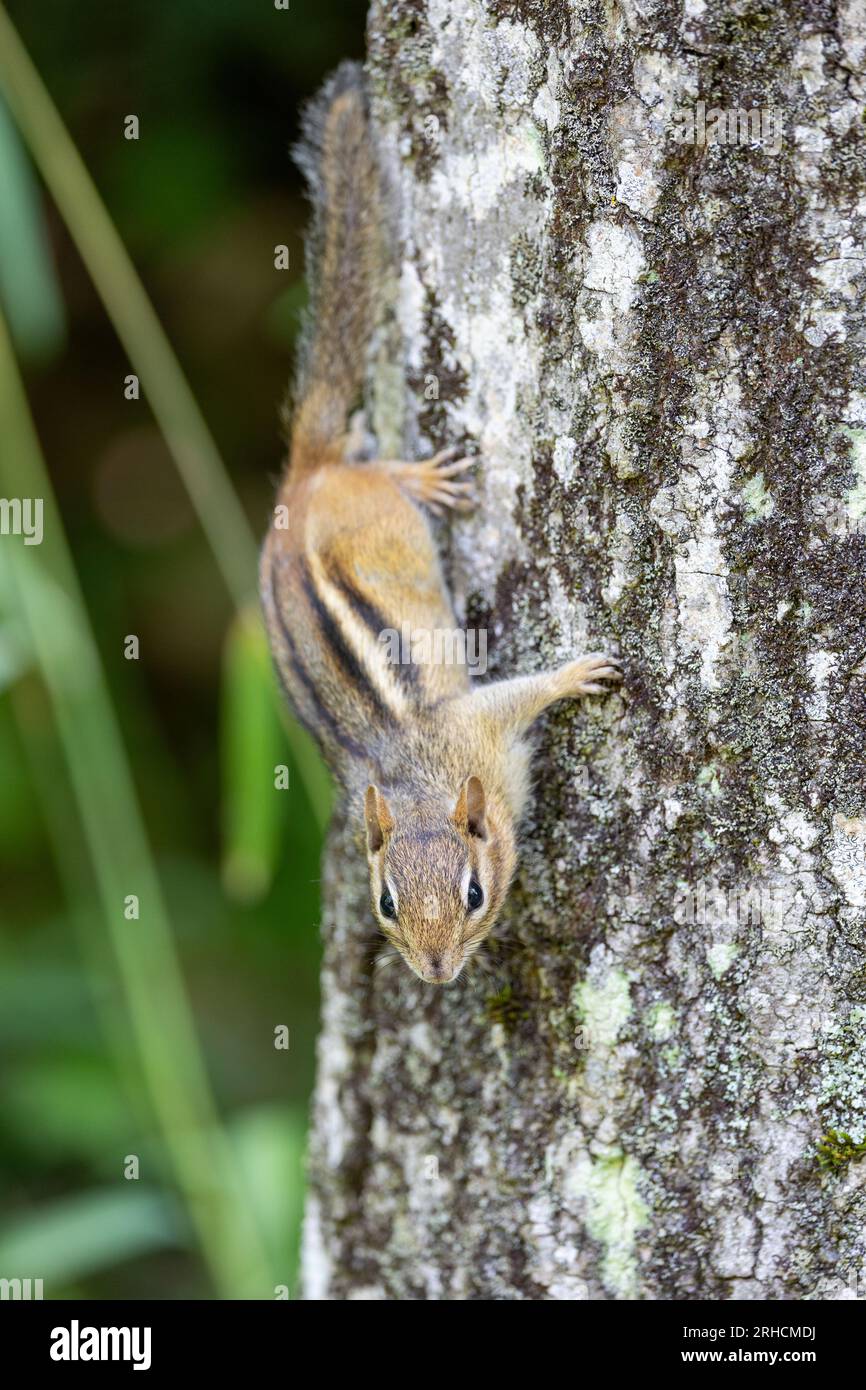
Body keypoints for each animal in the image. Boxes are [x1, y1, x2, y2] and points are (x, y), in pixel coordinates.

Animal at [260, 63, 621, 985]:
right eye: (387, 904)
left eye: (473, 892)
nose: (436, 972)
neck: (424, 777)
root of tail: (299, 479)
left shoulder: (476, 726)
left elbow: (518, 692)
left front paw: (573, 675)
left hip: (361, 491)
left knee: (372, 465)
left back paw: (419, 474)